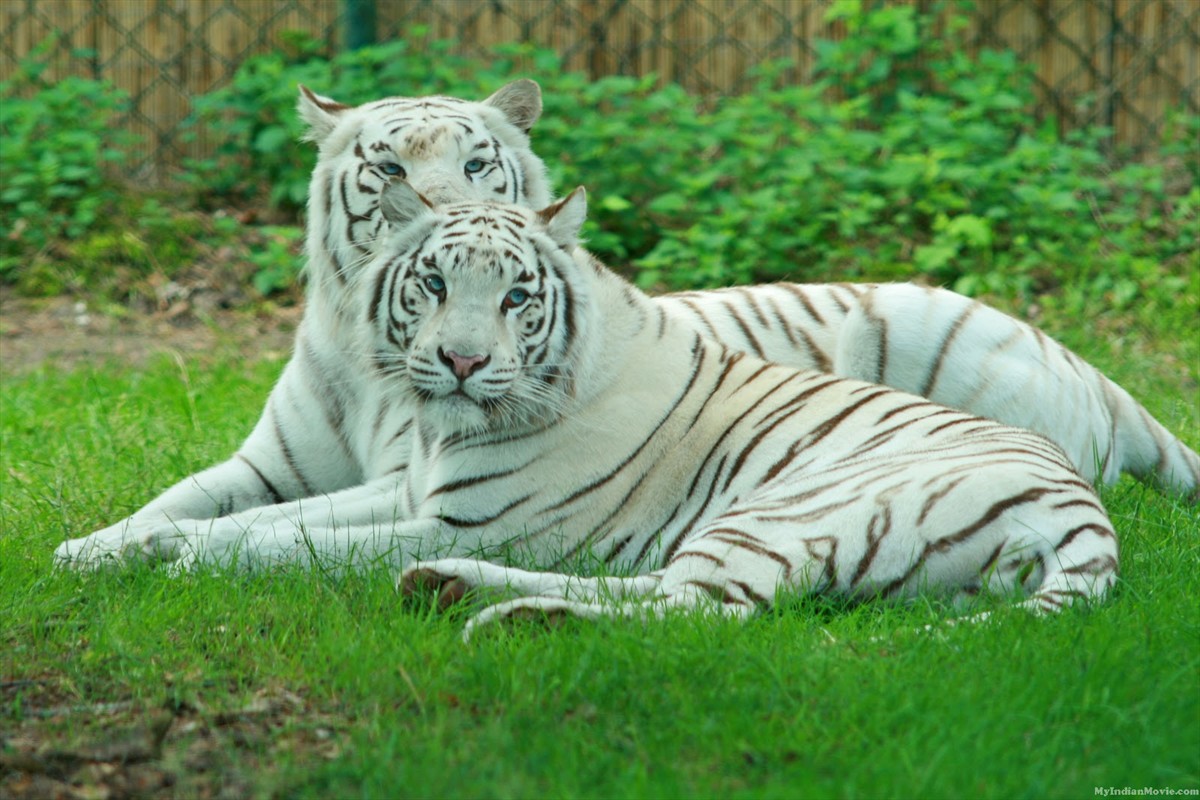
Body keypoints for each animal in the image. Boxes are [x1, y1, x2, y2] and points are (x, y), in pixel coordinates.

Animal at [54, 80, 1196, 570]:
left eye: (477, 161)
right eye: (384, 163)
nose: (435, 206)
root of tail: (1100, 377)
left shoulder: (413, 490)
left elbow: (277, 536)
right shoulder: (281, 464)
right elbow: (180, 503)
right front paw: (88, 548)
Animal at [59, 183, 1124, 638]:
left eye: (515, 297)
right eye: (434, 282)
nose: (460, 361)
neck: (449, 428)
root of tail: (1085, 511)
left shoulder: (465, 514)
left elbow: (292, 544)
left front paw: (184, 562)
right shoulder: (411, 495)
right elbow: (268, 517)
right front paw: (115, 548)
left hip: (781, 513)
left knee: (702, 612)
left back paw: (506, 618)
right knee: (667, 596)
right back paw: (452, 593)